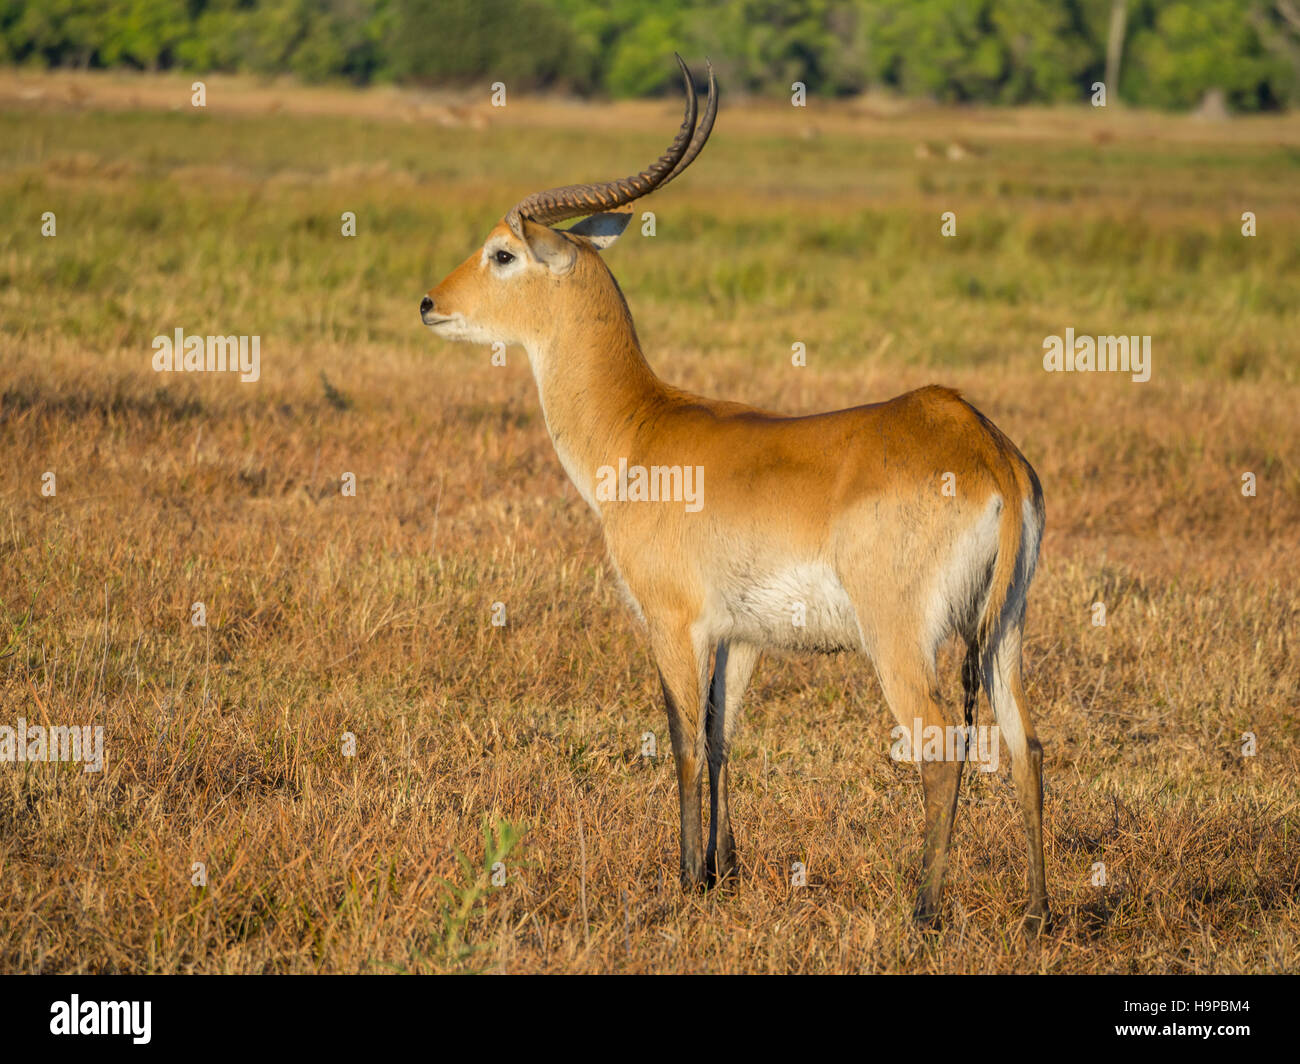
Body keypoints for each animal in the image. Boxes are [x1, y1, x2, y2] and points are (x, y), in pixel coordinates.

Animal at [420, 57, 1049, 932]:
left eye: (502, 253)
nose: (429, 303)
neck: (641, 430)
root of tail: (985, 448)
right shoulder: (742, 635)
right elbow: (722, 737)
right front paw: (722, 872)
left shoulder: (672, 619)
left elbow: (682, 738)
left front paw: (685, 881)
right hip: (1004, 633)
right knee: (1026, 748)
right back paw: (1042, 914)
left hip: (901, 640)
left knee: (940, 745)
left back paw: (924, 912)